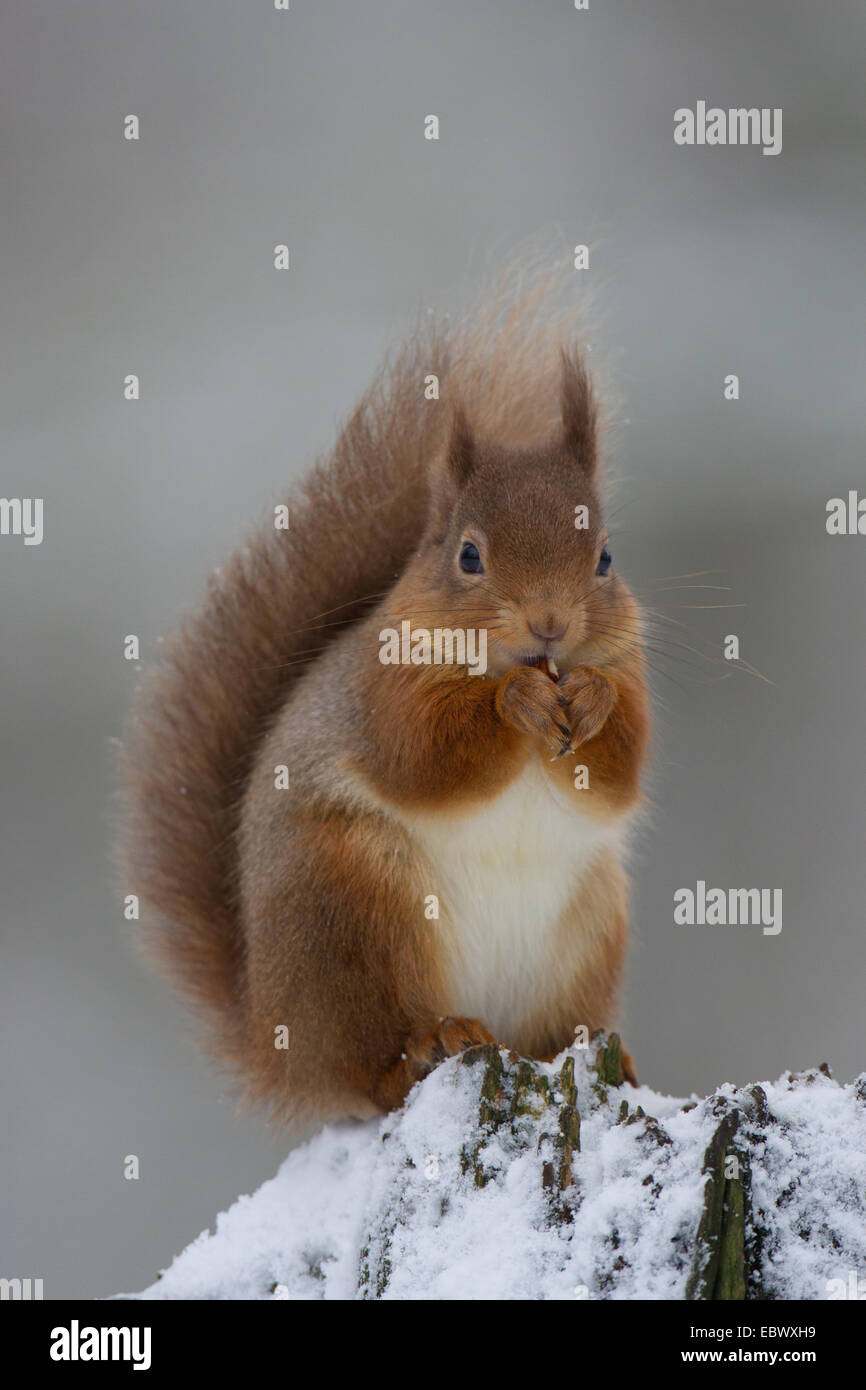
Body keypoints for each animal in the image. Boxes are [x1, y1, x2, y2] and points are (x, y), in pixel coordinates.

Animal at [120, 265, 650, 1124]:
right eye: (468, 555)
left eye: (604, 556)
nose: (549, 624)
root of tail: (279, 1041)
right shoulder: (381, 692)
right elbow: (425, 759)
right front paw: (516, 704)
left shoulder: (632, 668)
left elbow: (620, 772)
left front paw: (594, 698)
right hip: (353, 906)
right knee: (369, 1062)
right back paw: (427, 1044)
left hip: (588, 929)